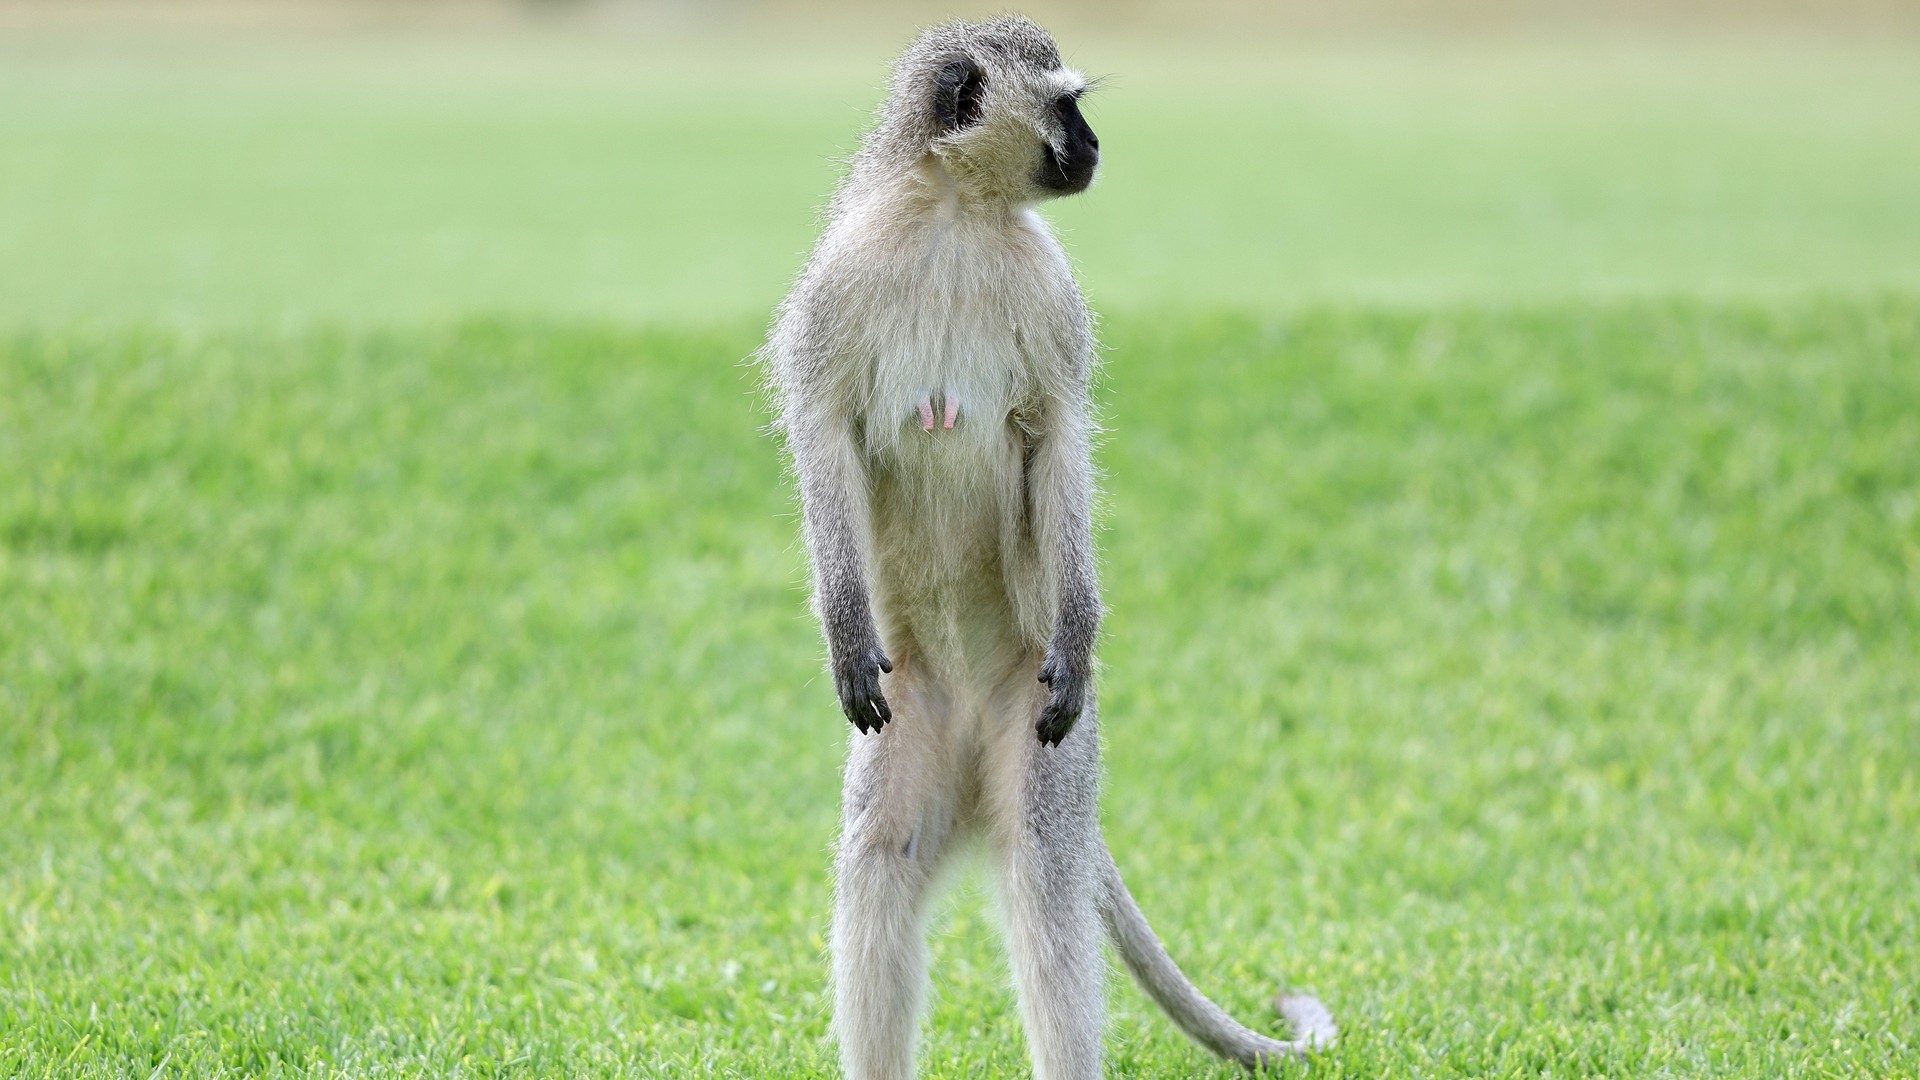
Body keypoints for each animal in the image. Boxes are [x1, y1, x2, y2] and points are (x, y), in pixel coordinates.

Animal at [764, 16, 1335, 1079]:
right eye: (1067, 105)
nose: (1098, 144)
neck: (956, 212)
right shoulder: (836, 286)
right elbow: (821, 429)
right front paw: (844, 631)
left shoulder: (1050, 294)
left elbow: (1059, 436)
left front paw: (1082, 626)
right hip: (911, 721)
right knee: (880, 860)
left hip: (1033, 729)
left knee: (1042, 875)